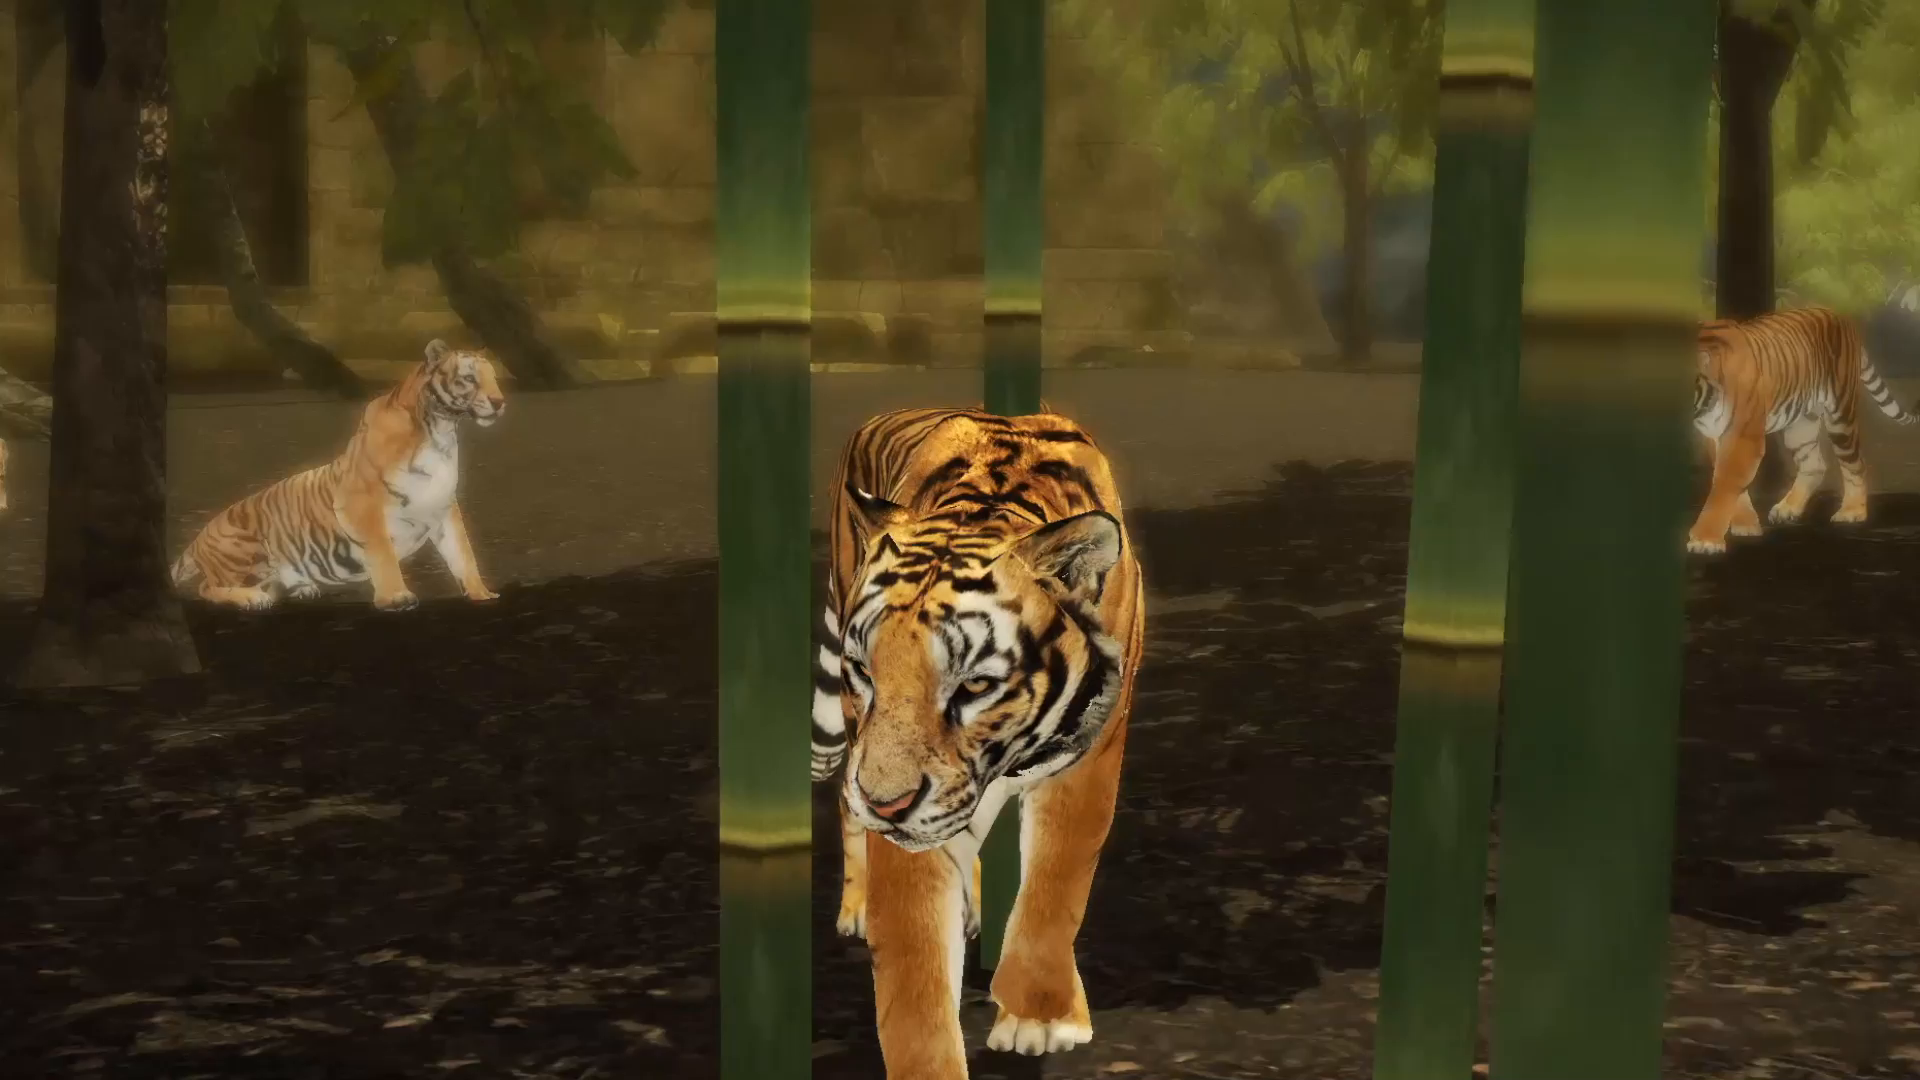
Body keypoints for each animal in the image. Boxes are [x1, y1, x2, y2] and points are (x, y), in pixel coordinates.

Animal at [170, 339, 506, 610]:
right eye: (469, 378)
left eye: (494, 378)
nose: (499, 402)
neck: (440, 431)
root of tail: (196, 539)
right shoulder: (360, 505)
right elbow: (382, 554)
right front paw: (396, 598)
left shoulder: (444, 507)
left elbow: (463, 554)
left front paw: (482, 594)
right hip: (245, 550)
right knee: (208, 587)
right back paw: (253, 598)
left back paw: (302, 588)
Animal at [810, 405, 1145, 1076]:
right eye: (865, 671)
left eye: (975, 685)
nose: (886, 803)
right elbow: (915, 966)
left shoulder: (1089, 757)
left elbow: (1055, 885)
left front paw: (1040, 1016)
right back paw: (861, 906)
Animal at [1688, 306, 1918, 555]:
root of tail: (1840, 317)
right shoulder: (1715, 435)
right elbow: (1731, 486)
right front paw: (1746, 525)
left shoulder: (1743, 436)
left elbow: (1726, 485)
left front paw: (1705, 540)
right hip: (1801, 425)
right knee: (1814, 464)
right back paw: (1787, 509)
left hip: (1839, 417)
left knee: (1855, 465)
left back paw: (1851, 512)